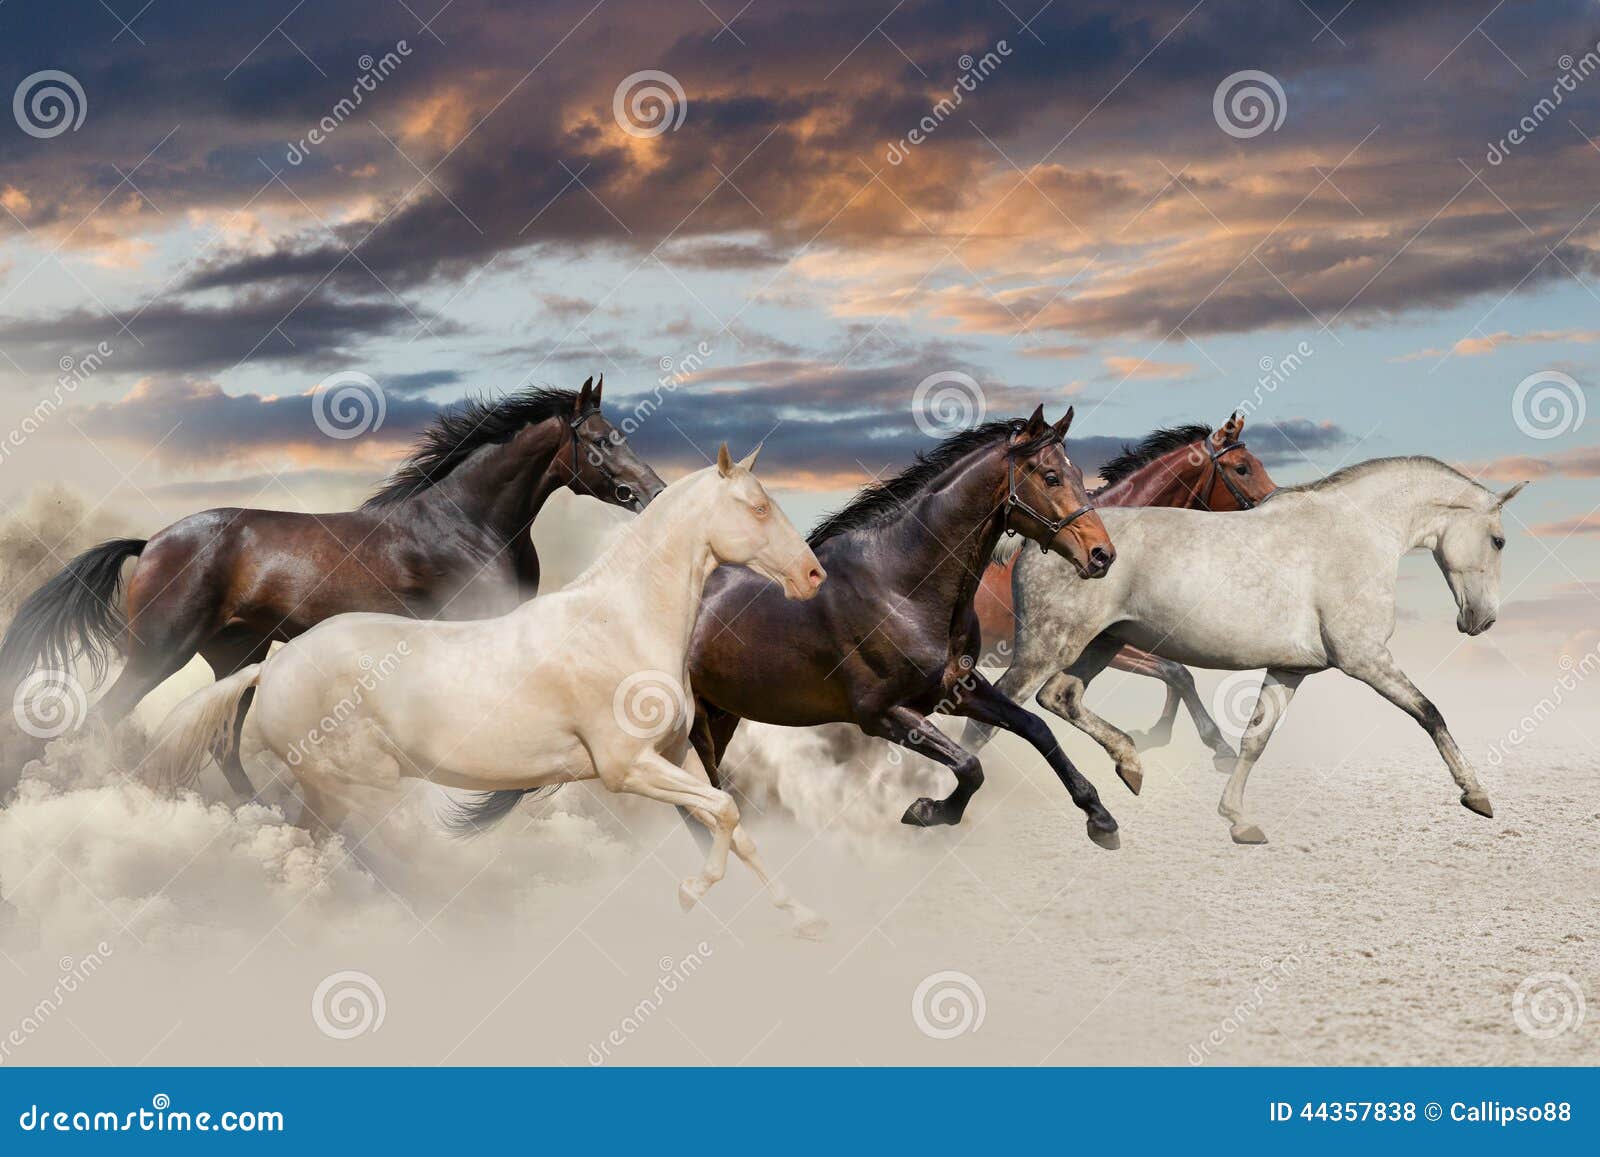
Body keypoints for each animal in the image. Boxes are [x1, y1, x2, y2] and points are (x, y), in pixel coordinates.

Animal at [0, 376, 664, 795]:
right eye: (601, 440)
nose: (653, 492)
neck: (466, 522)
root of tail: (154, 541)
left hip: (235, 656)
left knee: (223, 743)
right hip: (160, 652)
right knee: (104, 720)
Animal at [149, 443, 831, 933]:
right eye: (759, 507)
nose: (812, 575)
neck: (619, 624)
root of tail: (274, 668)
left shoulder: (675, 754)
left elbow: (734, 824)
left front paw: (805, 919)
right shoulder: (626, 767)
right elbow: (725, 812)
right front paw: (691, 893)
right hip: (359, 786)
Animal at [960, 457, 1528, 844]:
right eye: (1499, 541)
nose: (1481, 620)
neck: (1353, 535)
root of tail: (1036, 540)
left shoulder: (1290, 669)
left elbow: (1255, 739)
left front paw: (1238, 819)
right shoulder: (1365, 659)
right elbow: (1429, 712)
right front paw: (1477, 795)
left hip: (1101, 644)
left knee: (1060, 698)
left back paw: (1130, 766)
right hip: (1046, 646)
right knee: (993, 718)